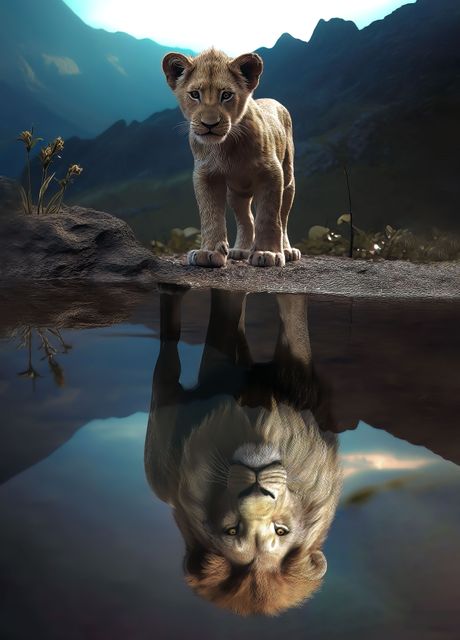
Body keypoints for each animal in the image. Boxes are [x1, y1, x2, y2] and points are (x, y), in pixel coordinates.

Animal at [144, 289, 342, 616]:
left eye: (281, 531)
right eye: (232, 531)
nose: (257, 492)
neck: (261, 429)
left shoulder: (300, 383)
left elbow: (293, 320)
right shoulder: (218, 373)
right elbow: (226, 313)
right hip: (160, 424)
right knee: (168, 353)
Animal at [162, 48, 301, 268]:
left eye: (226, 95)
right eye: (195, 94)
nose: (209, 124)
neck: (226, 146)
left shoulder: (272, 173)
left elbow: (269, 216)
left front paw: (268, 253)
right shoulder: (205, 175)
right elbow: (210, 214)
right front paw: (208, 253)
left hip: (288, 180)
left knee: (283, 216)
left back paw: (287, 250)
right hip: (236, 193)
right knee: (246, 218)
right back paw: (241, 250)